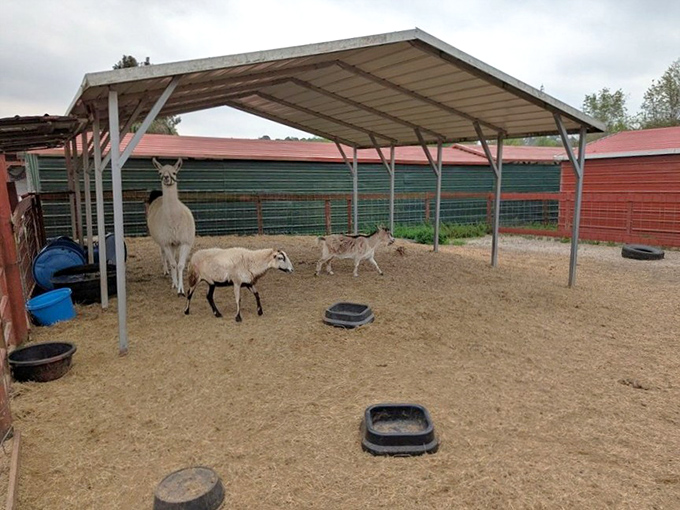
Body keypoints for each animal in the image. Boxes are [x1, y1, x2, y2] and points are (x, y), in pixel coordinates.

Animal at [147, 158, 196, 296]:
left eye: (174, 172)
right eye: (160, 172)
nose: (166, 178)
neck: (174, 221)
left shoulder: (185, 241)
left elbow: (180, 265)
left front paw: (181, 288)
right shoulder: (166, 242)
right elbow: (173, 264)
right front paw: (175, 285)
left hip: (174, 243)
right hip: (162, 240)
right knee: (164, 255)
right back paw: (166, 271)